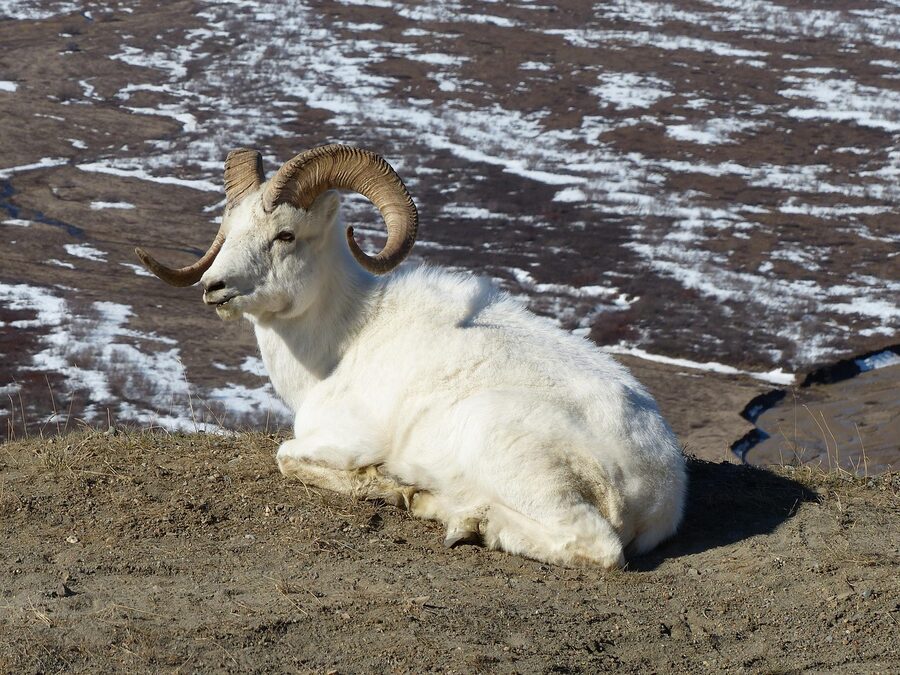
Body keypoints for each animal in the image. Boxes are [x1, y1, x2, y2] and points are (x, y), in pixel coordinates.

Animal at [136, 144, 687, 568]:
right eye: (228, 232)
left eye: (285, 235)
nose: (214, 288)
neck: (344, 341)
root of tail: (658, 486)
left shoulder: (342, 440)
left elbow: (286, 457)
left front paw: (384, 484)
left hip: (512, 455)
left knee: (596, 547)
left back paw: (461, 520)